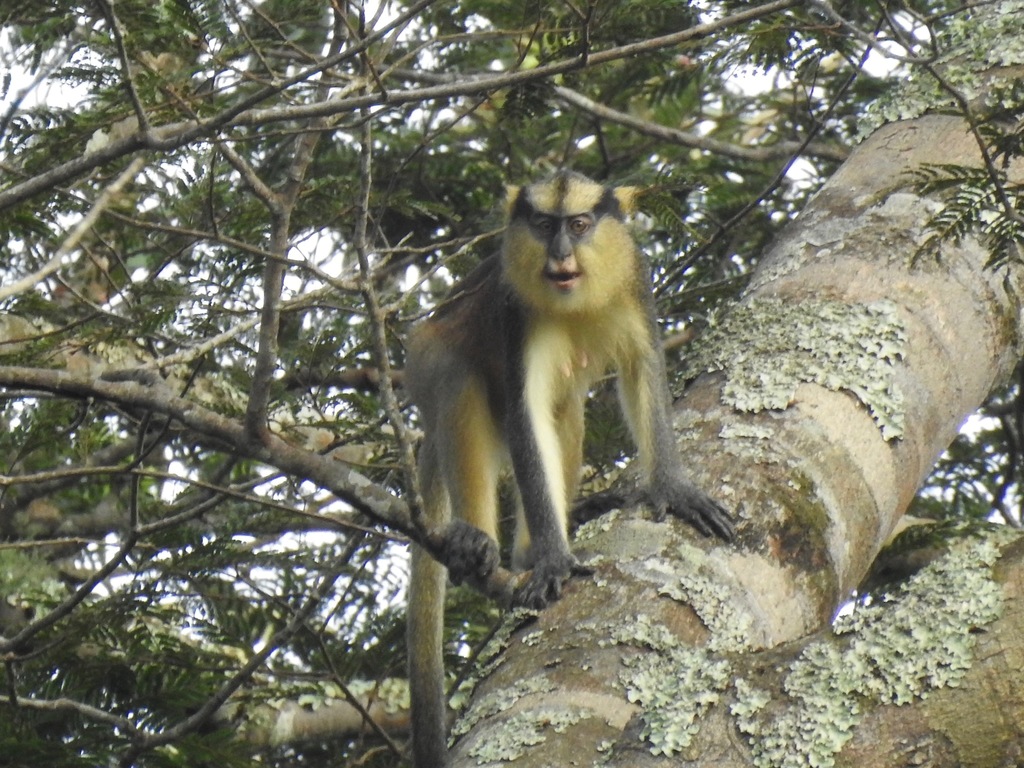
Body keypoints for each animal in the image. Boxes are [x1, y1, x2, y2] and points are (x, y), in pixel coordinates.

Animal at [404, 170, 733, 767]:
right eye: (542, 225)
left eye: (579, 225)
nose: (559, 253)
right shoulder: (515, 314)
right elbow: (526, 412)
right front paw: (555, 559)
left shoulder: (635, 282)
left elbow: (642, 368)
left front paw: (673, 489)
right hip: (426, 363)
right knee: (461, 384)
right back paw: (484, 544)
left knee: (568, 405)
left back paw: (540, 540)